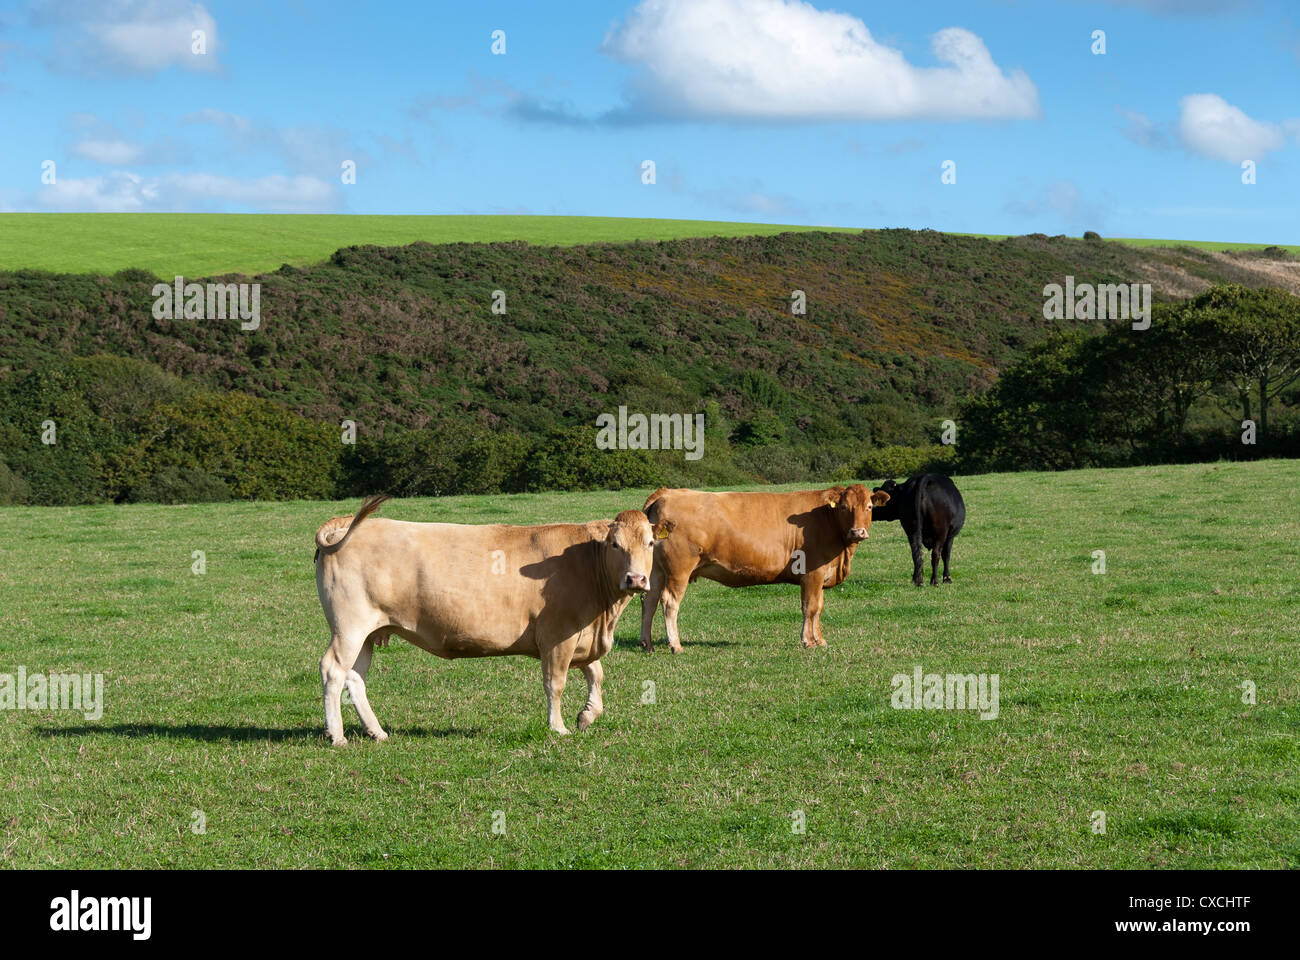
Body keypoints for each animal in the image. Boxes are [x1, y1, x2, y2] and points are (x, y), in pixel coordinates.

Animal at [314, 495, 670, 744]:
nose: (636, 579)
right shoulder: (558, 635)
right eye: (615, 544)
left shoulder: (583, 635)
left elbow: (596, 673)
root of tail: (345, 524)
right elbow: (555, 683)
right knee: (333, 670)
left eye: (650, 543)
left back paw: (377, 732)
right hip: (349, 626)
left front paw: (587, 715)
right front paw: (558, 727)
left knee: (354, 677)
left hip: (369, 632)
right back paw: (338, 736)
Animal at [639, 484, 890, 652]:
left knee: (649, 601)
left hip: (656, 569)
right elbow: (809, 607)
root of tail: (667, 492)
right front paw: (808, 641)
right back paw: (675, 645)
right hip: (679, 568)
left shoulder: (821, 575)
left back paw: (647, 644)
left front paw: (820, 640)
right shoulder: (812, 573)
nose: (858, 532)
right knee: (669, 602)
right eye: (845, 507)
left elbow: (818, 608)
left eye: (869, 507)